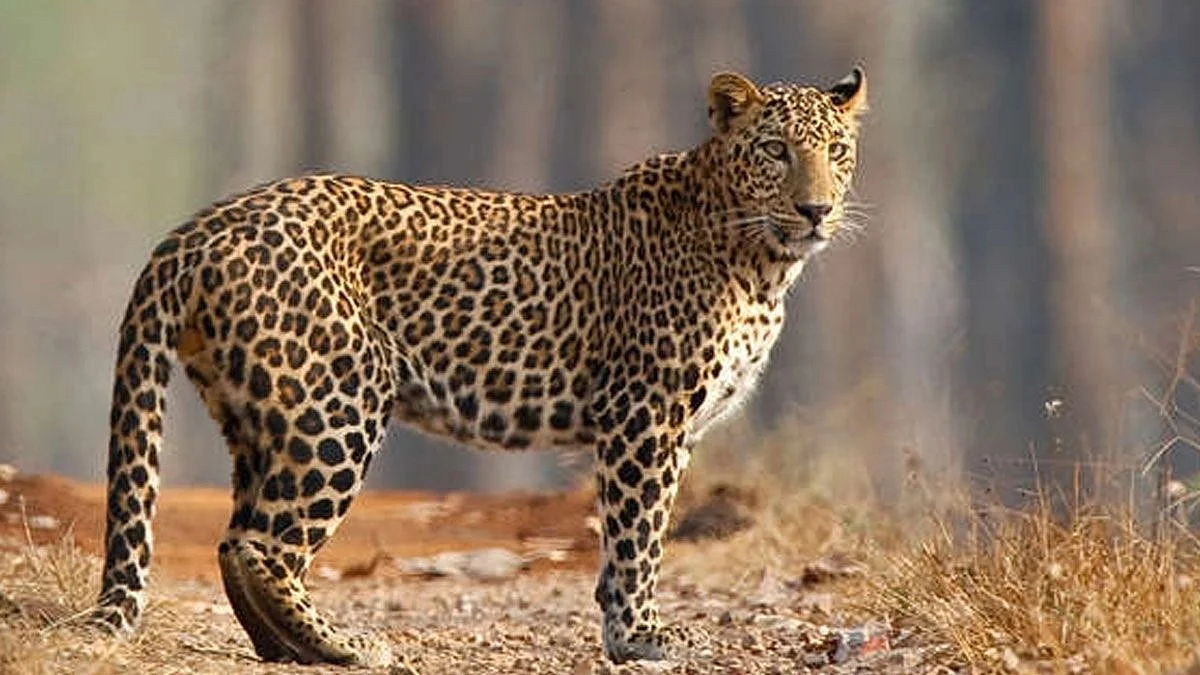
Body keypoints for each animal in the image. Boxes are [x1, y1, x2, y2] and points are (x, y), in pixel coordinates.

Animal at [90, 67, 867, 665]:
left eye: (836, 149)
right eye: (774, 150)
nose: (816, 209)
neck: (762, 264)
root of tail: (196, 229)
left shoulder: (664, 427)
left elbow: (623, 544)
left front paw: (621, 630)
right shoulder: (646, 415)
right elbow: (639, 534)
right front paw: (642, 635)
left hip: (260, 412)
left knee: (233, 541)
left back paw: (289, 649)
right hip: (336, 404)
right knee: (262, 545)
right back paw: (345, 647)